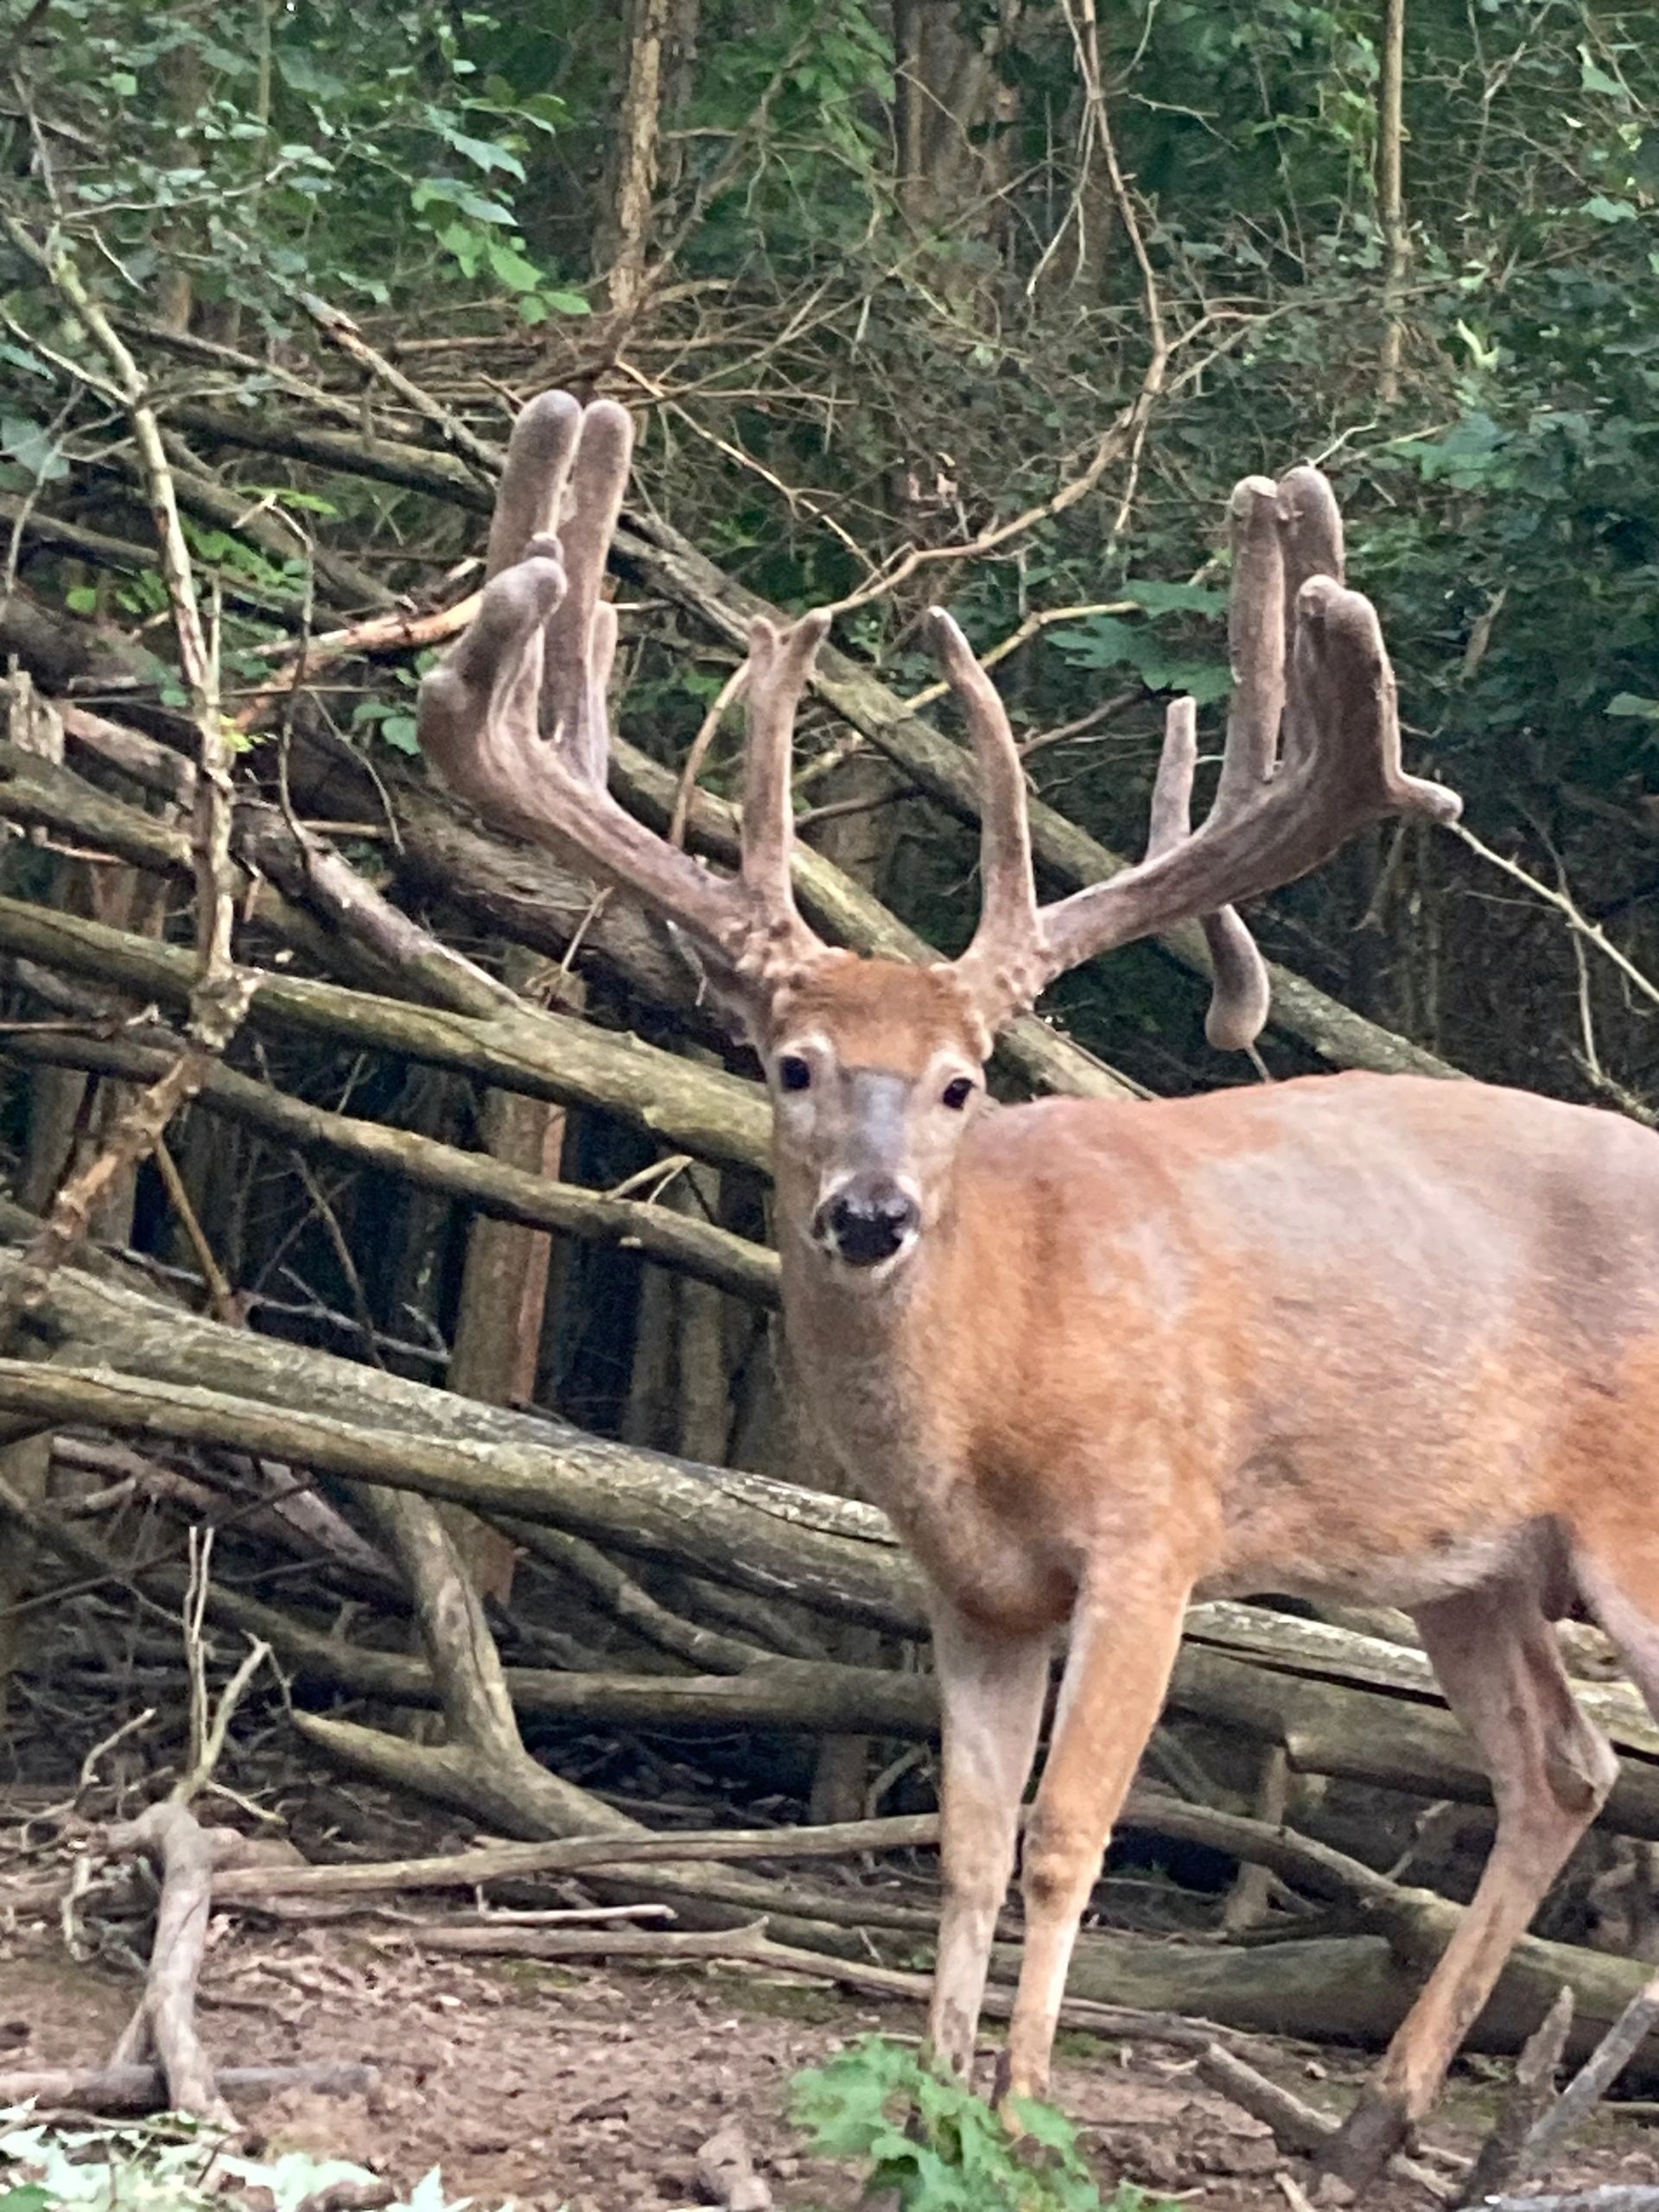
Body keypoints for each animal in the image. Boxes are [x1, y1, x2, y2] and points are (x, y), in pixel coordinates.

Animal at [417, 388, 1659, 2188]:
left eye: (960, 1083)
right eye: (791, 1065)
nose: (870, 1217)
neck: (997, 1389)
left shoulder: (1158, 1528)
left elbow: (1073, 1835)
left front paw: (1020, 2117)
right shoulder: (972, 1588)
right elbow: (967, 1841)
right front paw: (917, 2114)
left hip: (1628, 1526)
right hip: (1476, 1560)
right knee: (1558, 1767)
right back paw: (1368, 2128)